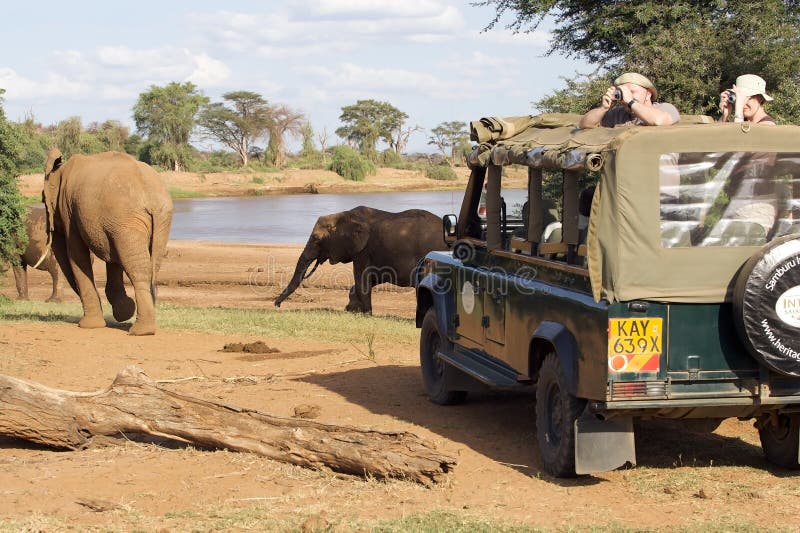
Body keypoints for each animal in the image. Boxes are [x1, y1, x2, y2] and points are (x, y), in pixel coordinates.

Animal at [40, 149, 173, 335]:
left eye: (42, 201)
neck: (61, 168)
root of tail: (151, 194)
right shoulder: (109, 223)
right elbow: (113, 257)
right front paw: (124, 311)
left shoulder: (69, 211)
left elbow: (76, 256)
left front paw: (89, 325)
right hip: (156, 220)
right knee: (149, 264)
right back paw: (145, 325)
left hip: (127, 219)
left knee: (138, 268)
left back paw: (141, 331)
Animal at [274, 206, 446, 313]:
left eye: (316, 240)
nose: (277, 305)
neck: (342, 215)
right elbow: (370, 279)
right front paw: (352, 309)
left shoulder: (363, 250)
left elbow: (361, 277)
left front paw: (366, 313)